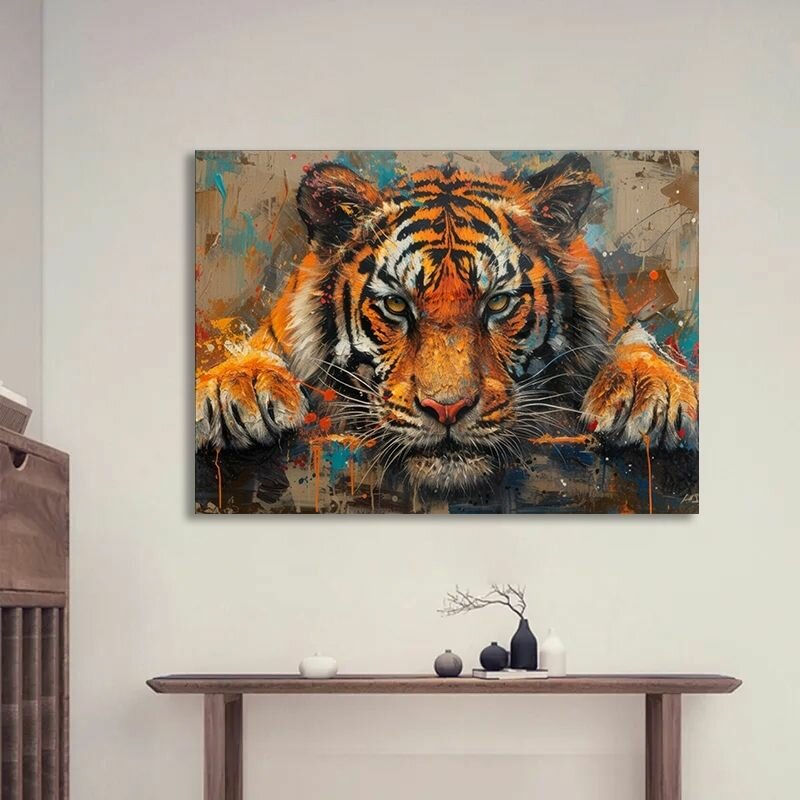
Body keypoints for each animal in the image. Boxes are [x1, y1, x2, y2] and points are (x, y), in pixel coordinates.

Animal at [195, 153, 698, 497]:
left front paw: (647, 394)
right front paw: (233, 393)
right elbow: (256, 351)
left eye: (498, 303)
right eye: (396, 305)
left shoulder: (616, 323)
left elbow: (635, 344)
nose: (447, 409)